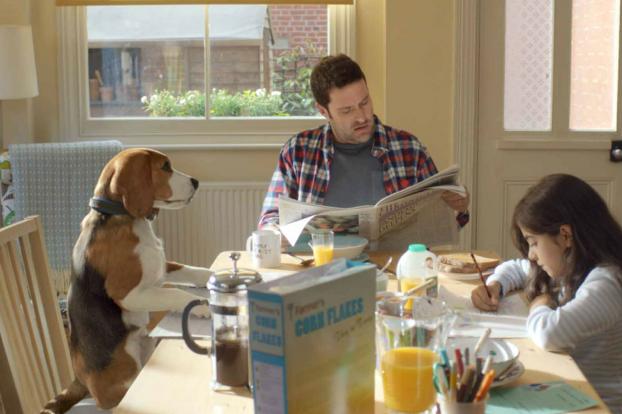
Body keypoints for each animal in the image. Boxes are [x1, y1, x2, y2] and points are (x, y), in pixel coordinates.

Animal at [42, 148, 212, 413]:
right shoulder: (128, 294)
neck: (118, 215)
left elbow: (194, 271)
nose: (196, 182)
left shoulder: (161, 267)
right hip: (129, 367)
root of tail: (79, 380)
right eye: (165, 167)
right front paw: (200, 305)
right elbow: (174, 291)